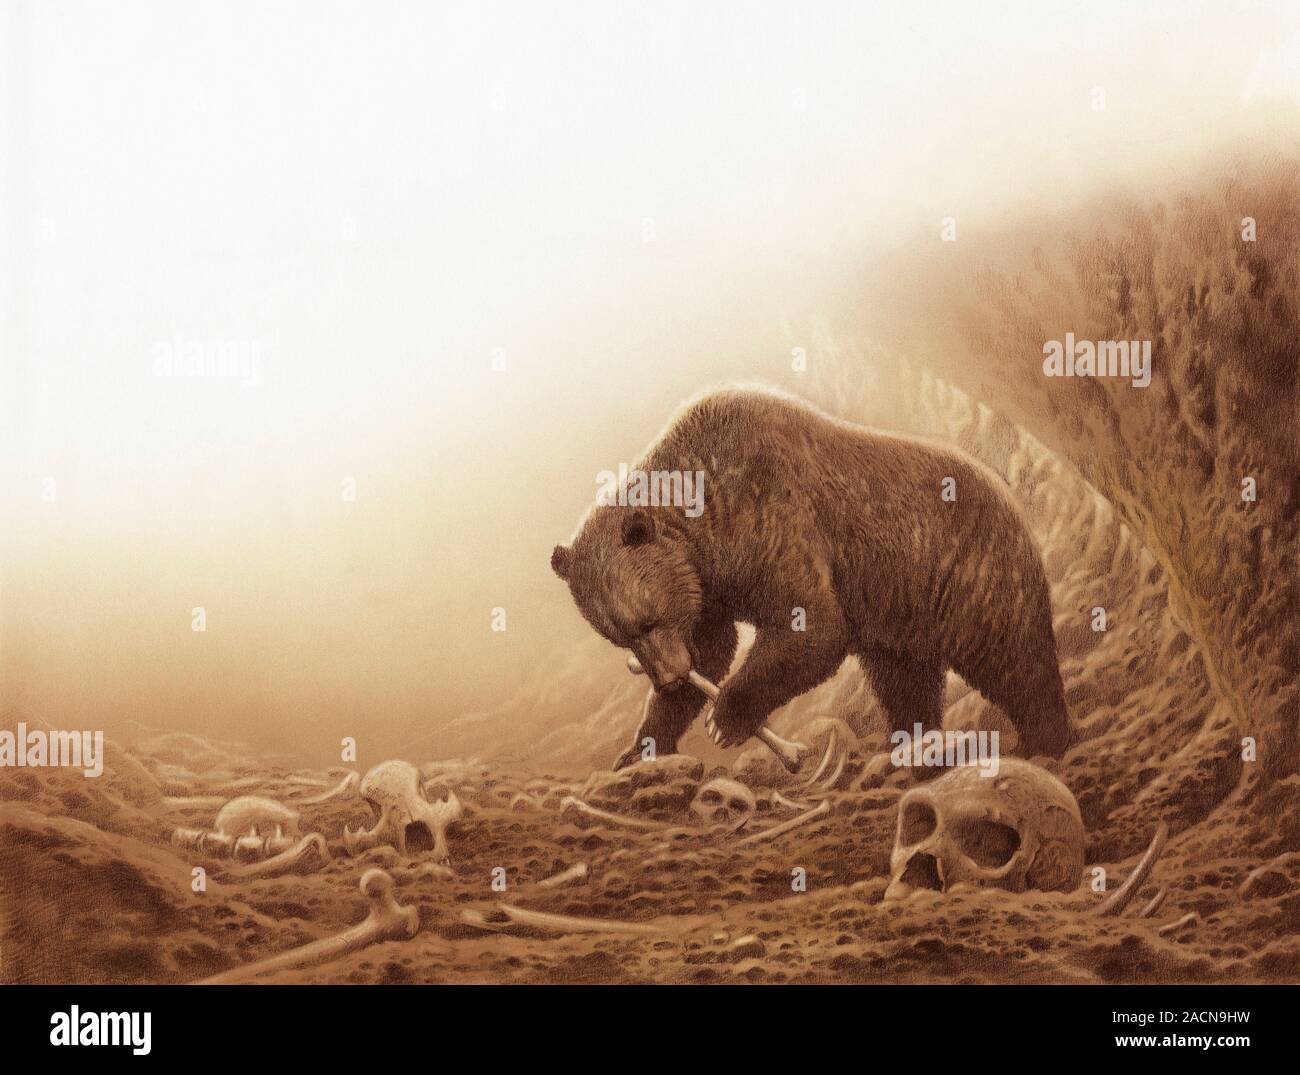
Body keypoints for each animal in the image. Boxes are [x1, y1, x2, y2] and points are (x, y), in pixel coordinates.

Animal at [551, 386, 1072, 771]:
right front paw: (641, 745)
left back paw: (1043, 742)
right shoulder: (706, 584)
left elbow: (811, 624)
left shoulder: (771, 515)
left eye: (647, 621)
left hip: (971, 572)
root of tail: (1010, 495)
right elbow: (713, 647)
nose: (669, 677)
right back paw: (912, 742)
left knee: (1015, 658)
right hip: (901, 609)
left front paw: (727, 717)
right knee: (903, 679)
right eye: (622, 637)